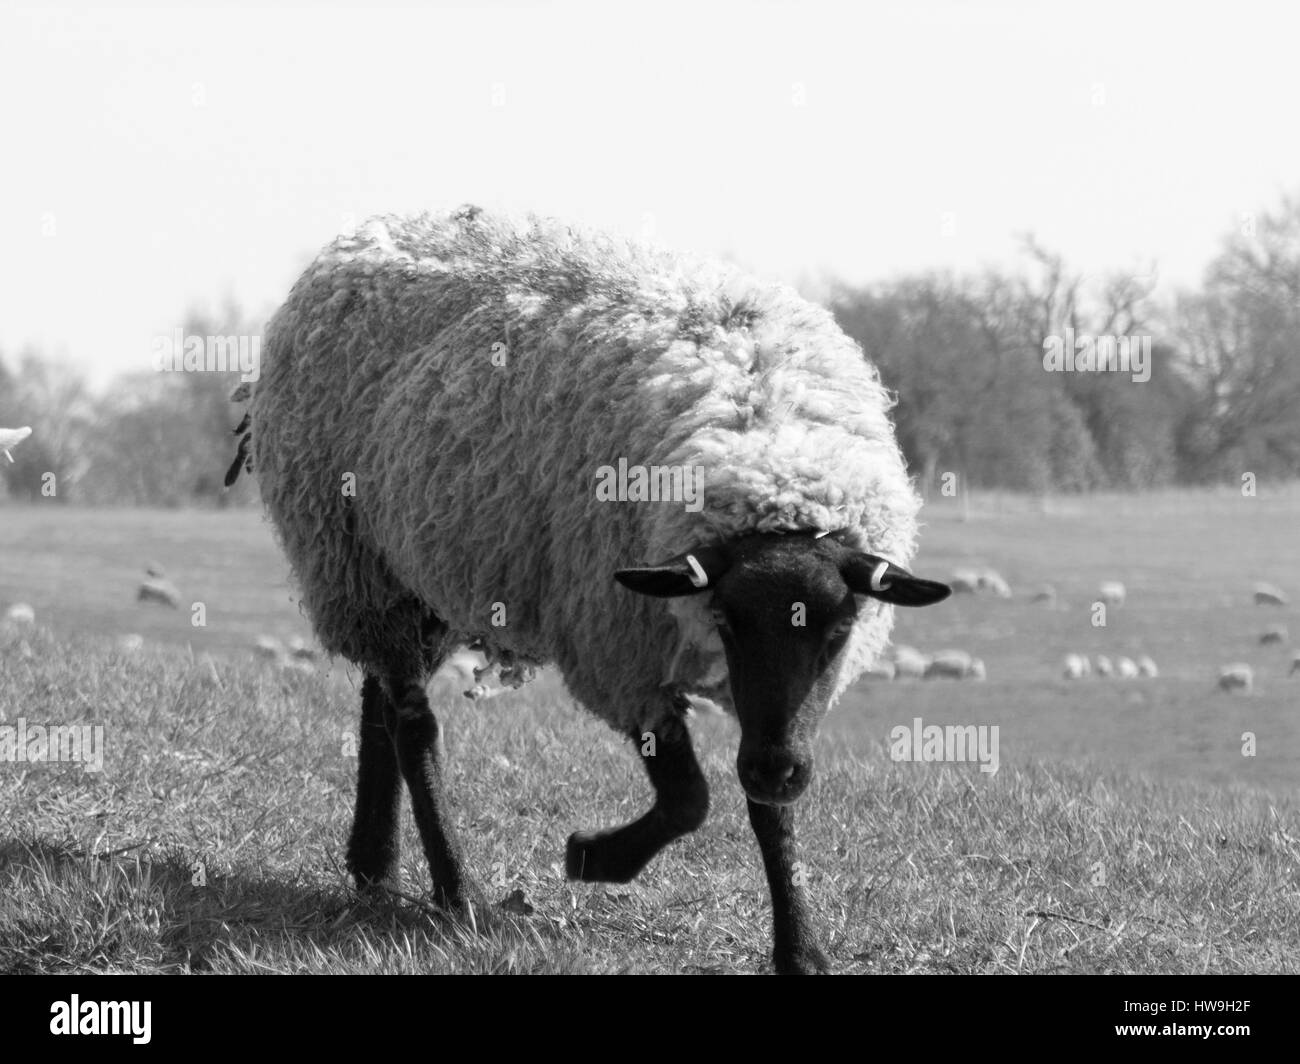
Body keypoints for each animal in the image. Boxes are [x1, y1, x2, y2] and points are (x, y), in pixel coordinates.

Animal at [227, 206, 951, 974]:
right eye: (726, 618)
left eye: (841, 630)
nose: (774, 769)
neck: (768, 445)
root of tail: (362, 236)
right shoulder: (618, 645)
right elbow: (690, 799)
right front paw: (595, 857)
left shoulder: (773, 705)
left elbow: (768, 810)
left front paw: (801, 950)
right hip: (353, 558)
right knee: (414, 725)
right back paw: (456, 894)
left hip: (410, 572)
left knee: (381, 705)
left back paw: (375, 868)